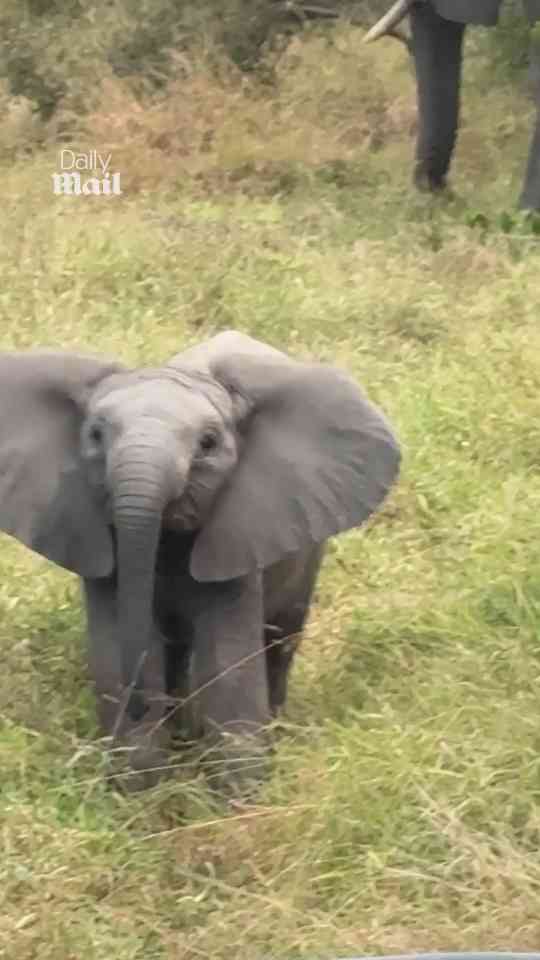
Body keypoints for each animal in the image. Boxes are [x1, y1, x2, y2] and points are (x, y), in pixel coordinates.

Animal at [0, 331, 400, 792]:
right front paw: (139, 791)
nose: (142, 705)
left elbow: (227, 666)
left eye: (208, 443)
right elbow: (113, 648)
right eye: (96, 435)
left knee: (280, 636)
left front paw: (239, 799)